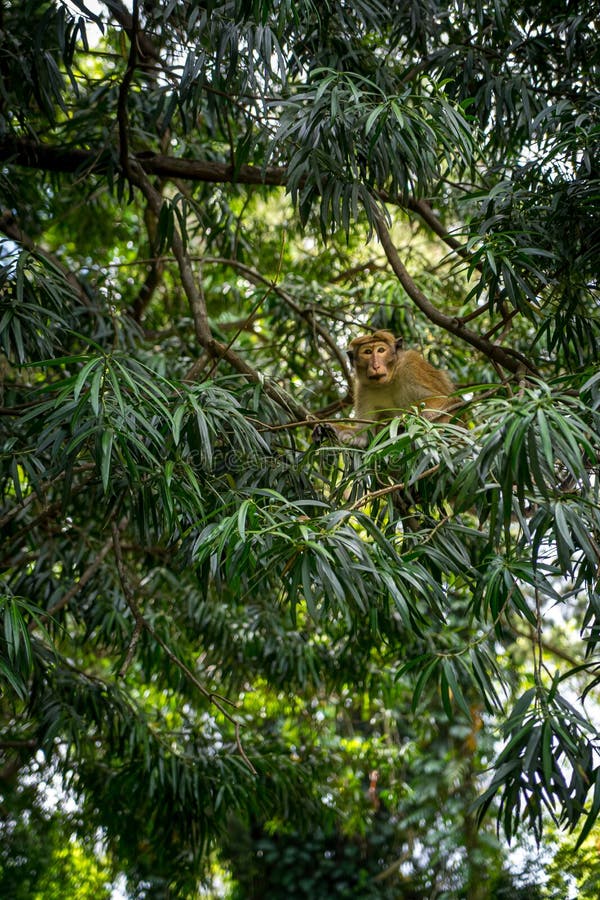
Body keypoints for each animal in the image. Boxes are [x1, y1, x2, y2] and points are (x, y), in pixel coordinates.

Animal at [315, 330, 455, 447]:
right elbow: (364, 435)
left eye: (381, 350)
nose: (376, 366)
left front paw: (407, 417)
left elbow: (443, 400)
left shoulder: (412, 366)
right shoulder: (362, 389)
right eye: (367, 352)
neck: (389, 380)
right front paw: (328, 429)